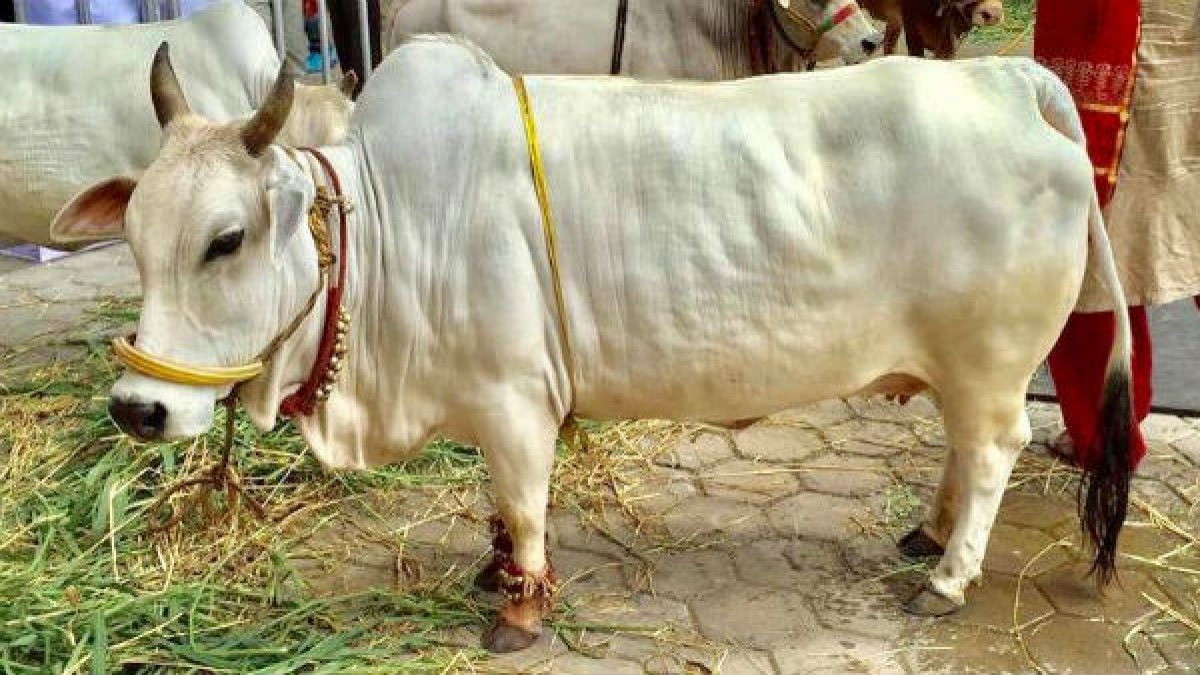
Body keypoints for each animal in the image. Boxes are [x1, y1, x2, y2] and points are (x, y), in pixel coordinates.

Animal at [51, 36, 1134, 653]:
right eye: (134, 236)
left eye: (226, 239)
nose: (138, 409)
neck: (390, 219)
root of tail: (1004, 77)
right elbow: (499, 511)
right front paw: (493, 570)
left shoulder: (516, 401)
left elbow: (525, 507)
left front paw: (519, 608)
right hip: (962, 366)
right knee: (960, 450)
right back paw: (929, 533)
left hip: (991, 363)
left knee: (992, 453)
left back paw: (948, 578)